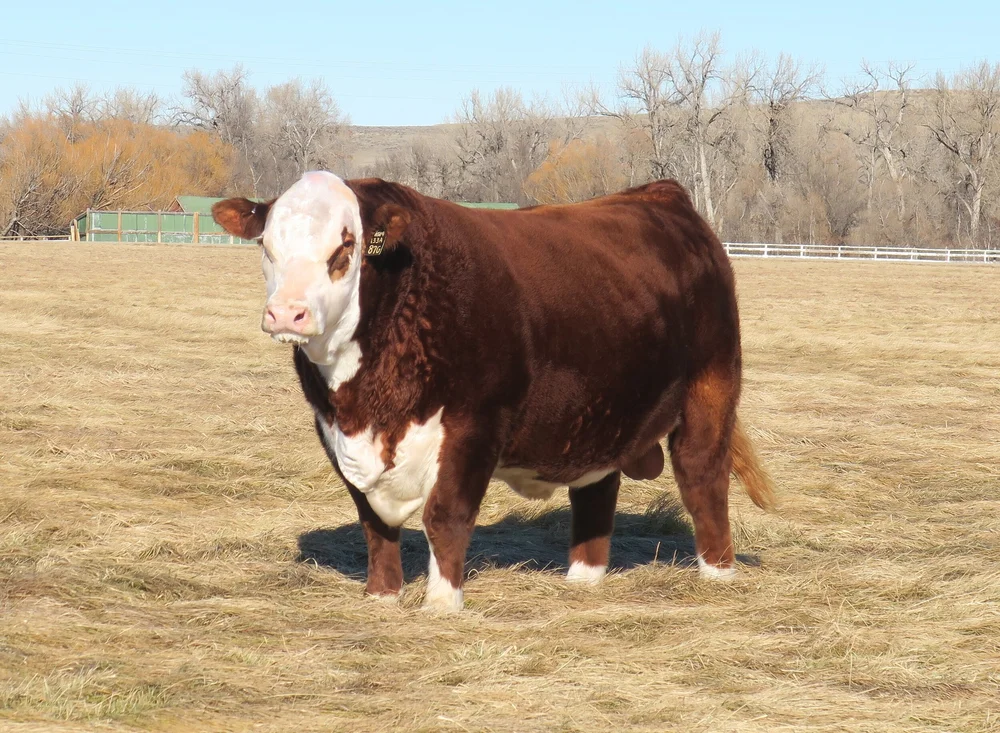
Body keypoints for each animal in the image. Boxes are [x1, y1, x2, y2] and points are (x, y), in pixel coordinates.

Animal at [212, 171, 775, 612]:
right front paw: (382, 596)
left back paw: (717, 574)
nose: (287, 313)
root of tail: (660, 195)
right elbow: (373, 523)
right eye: (267, 247)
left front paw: (442, 604)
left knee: (703, 479)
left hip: (710, 392)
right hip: (600, 413)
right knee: (597, 492)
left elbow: (446, 516)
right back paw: (582, 580)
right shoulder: (334, 431)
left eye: (344, 248)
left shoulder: (474, 425)